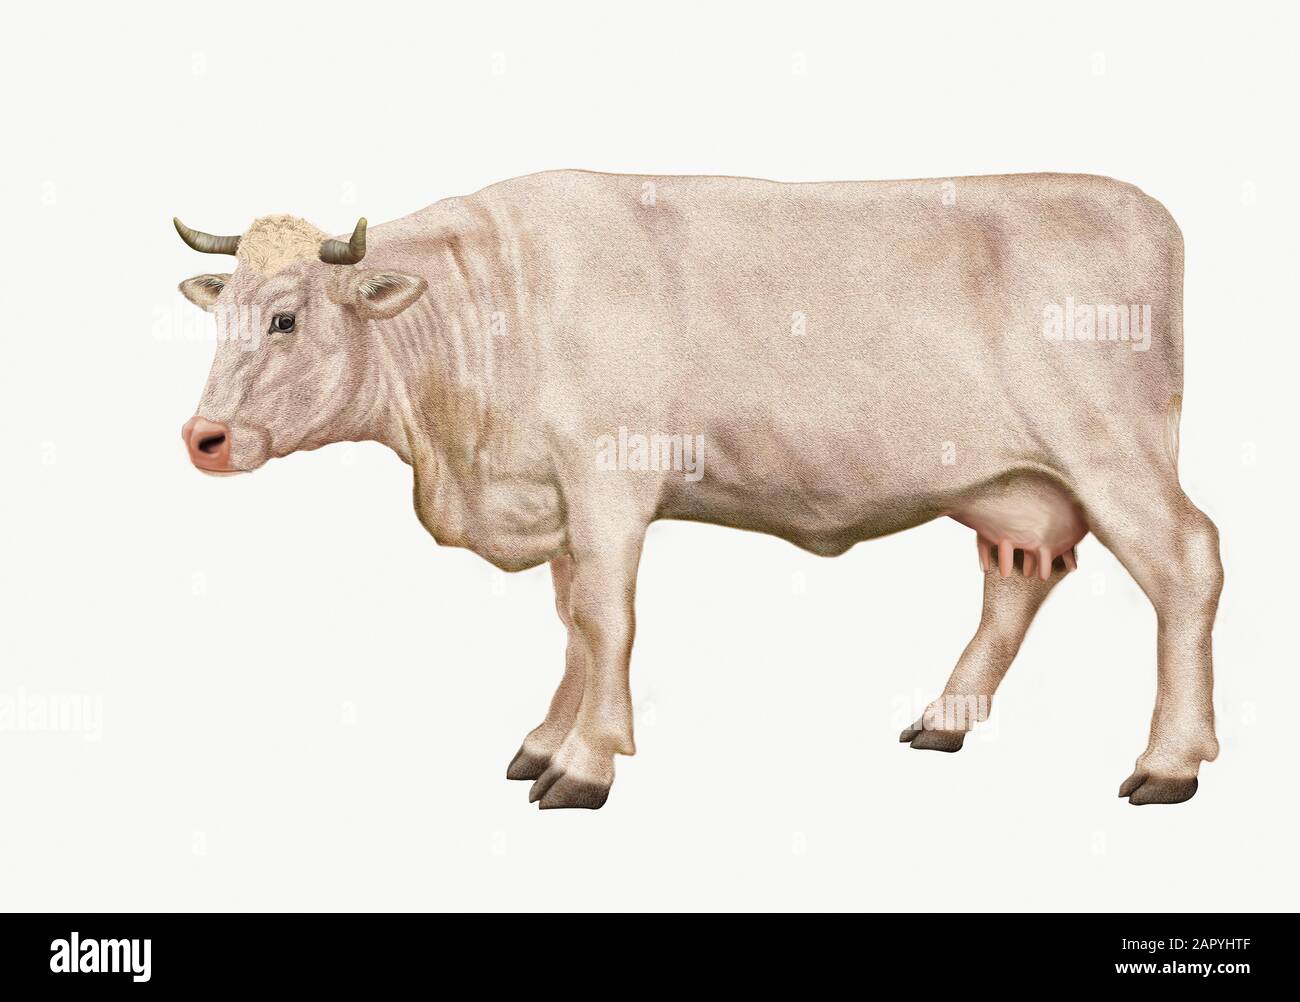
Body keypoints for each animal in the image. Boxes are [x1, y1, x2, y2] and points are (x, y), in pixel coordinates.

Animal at [174, 170, 1221, 809]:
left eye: (285, 318)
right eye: (220, 316)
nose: (203, 438)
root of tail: (1138, 204)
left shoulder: (608, 477)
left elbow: (606, 619)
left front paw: (585, 763)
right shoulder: (558, 496)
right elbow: (573, 623)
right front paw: (546, 741)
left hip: (1114, 452)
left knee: (1188, 562)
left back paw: (1169, 764)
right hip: (1012, 481)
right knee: (1018, 579)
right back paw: (944, 721)